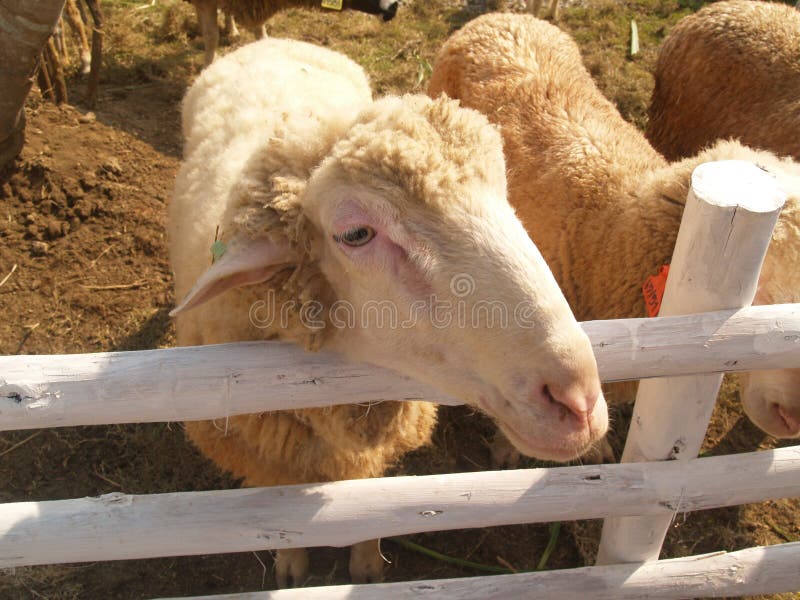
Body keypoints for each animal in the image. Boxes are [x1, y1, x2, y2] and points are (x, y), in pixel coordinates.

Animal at [169, 36, 609, 586]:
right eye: (356, 234)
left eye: (505, 188)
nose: (579, 402)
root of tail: (274, 39)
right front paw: (291, 563)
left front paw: (364, 564)